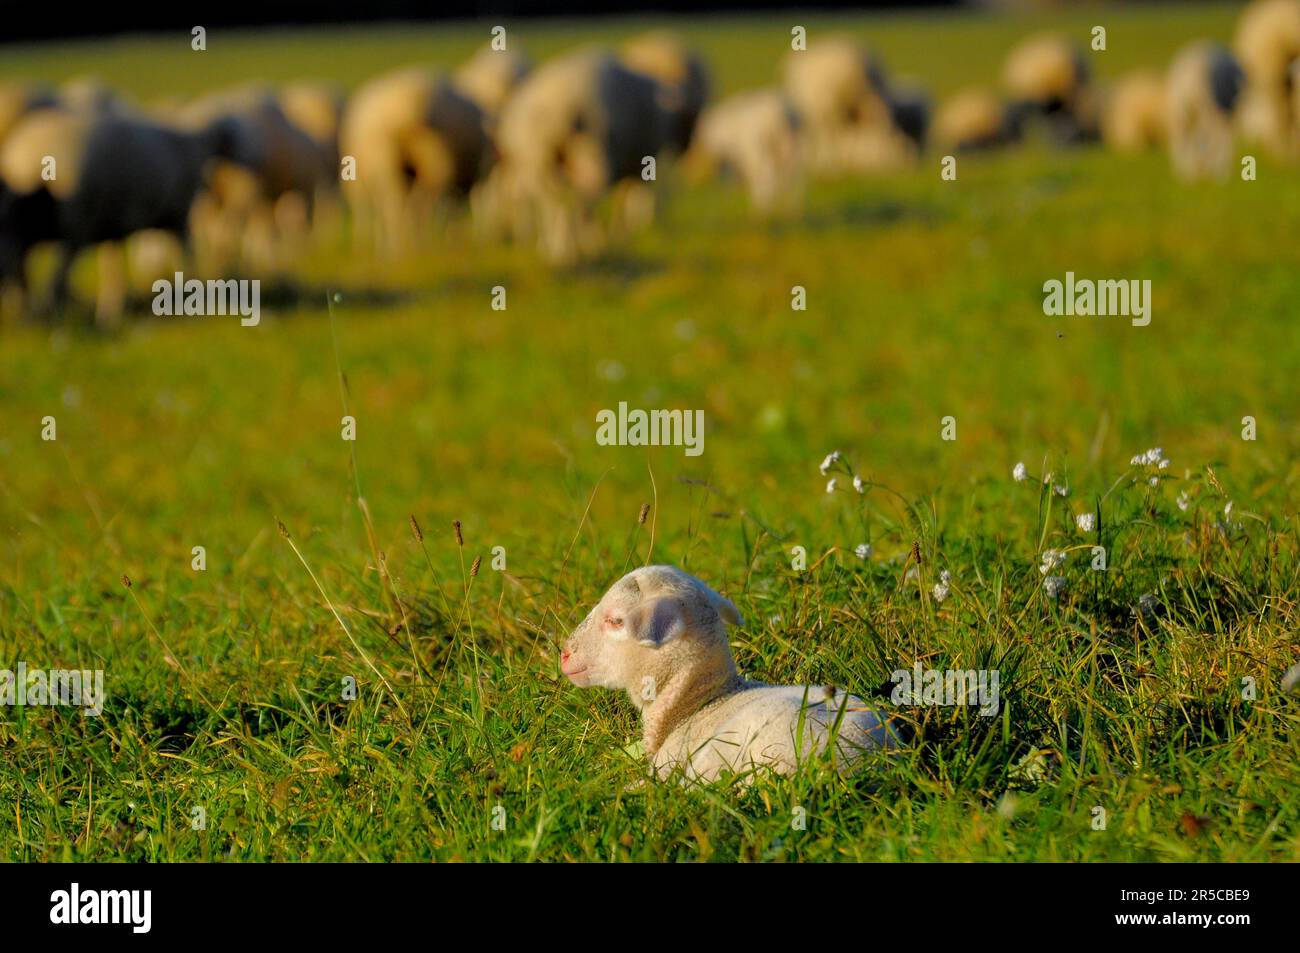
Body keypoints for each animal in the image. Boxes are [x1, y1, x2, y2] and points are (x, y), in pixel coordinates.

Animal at [339, 67, 492, 255]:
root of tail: (409, 107)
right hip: (432, 159)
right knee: (418, 202)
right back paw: (415, 244)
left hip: (391, 162)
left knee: (399, 203)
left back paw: (402, 244)